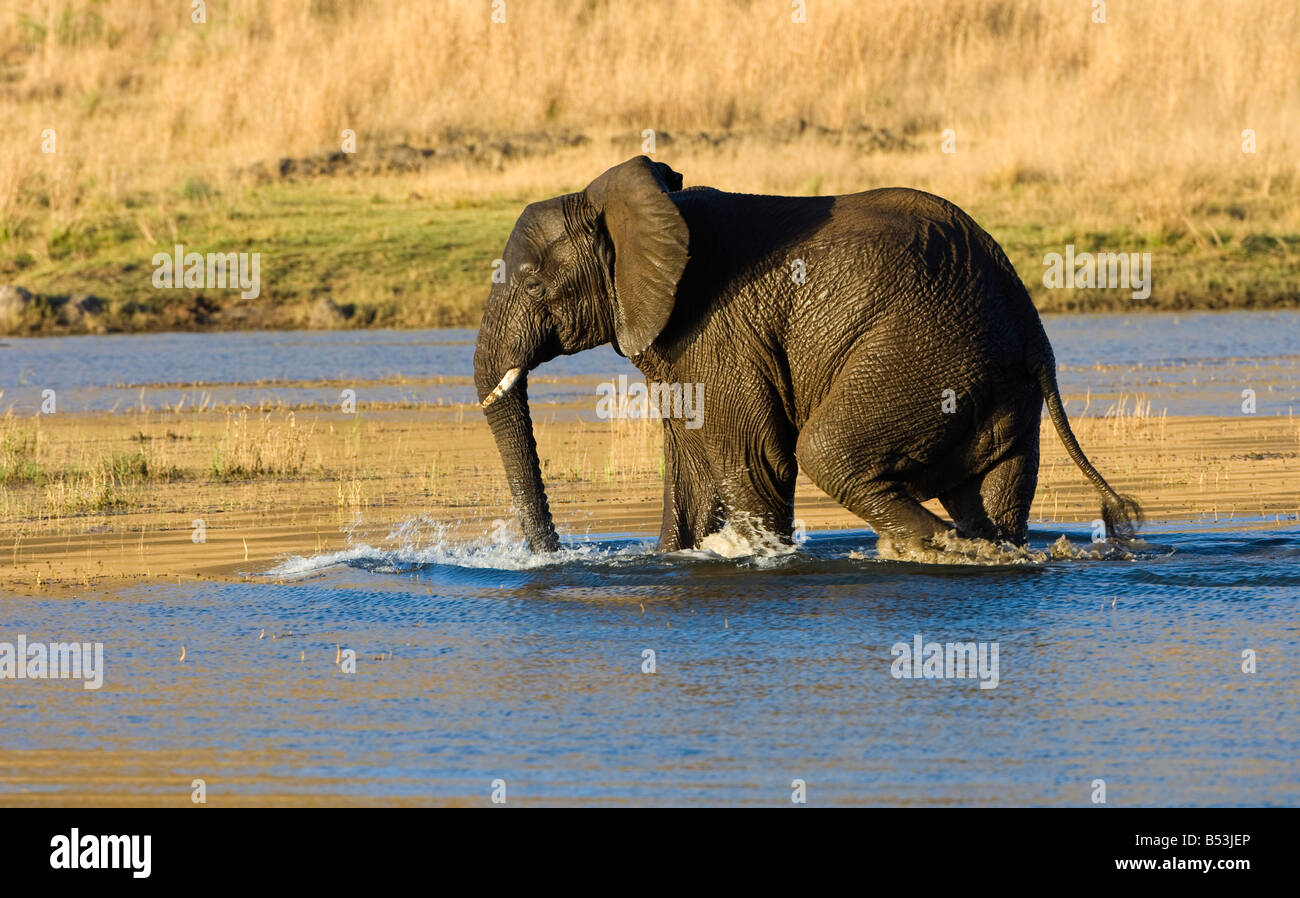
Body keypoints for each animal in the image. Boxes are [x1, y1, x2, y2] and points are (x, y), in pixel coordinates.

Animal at [473, 155, 1140, 557]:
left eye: (532, 284)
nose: (554, 555)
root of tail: (1031, 325)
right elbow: (690, 474)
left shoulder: (719, 332)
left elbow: (752, 460)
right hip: (990, 374)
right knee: (992, 487)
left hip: (923, 351)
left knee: (828, 452)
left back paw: (941, 545)